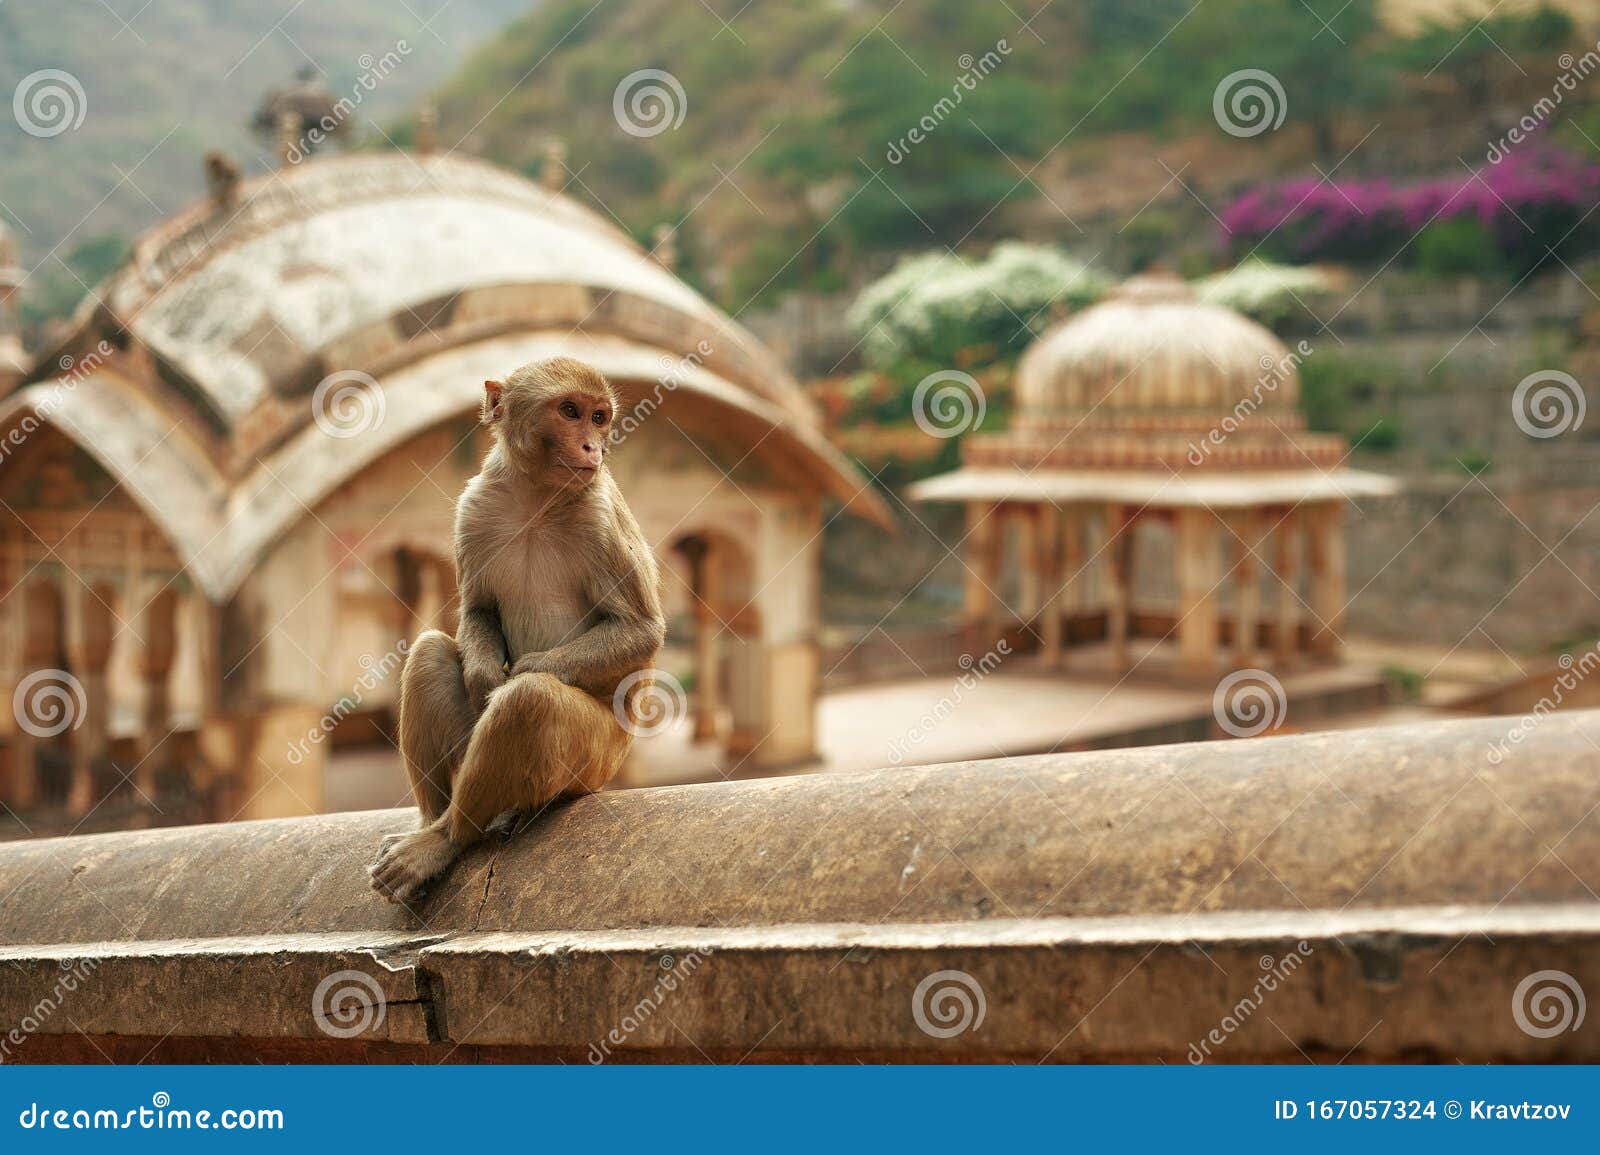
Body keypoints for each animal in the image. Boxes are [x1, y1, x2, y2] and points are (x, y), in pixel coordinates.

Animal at [370, 357, 665, 904]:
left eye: (599, 417)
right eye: (570, 411)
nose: (594, 447)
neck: (536, 497)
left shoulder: (601, 513)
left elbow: (640, 629)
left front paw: (521, 669)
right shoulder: (473, 506)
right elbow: (478, 610)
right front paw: (485, 673)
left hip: (595, 761)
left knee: (533, 701)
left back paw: (446, 838)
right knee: (429, 654)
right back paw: (432, 826)